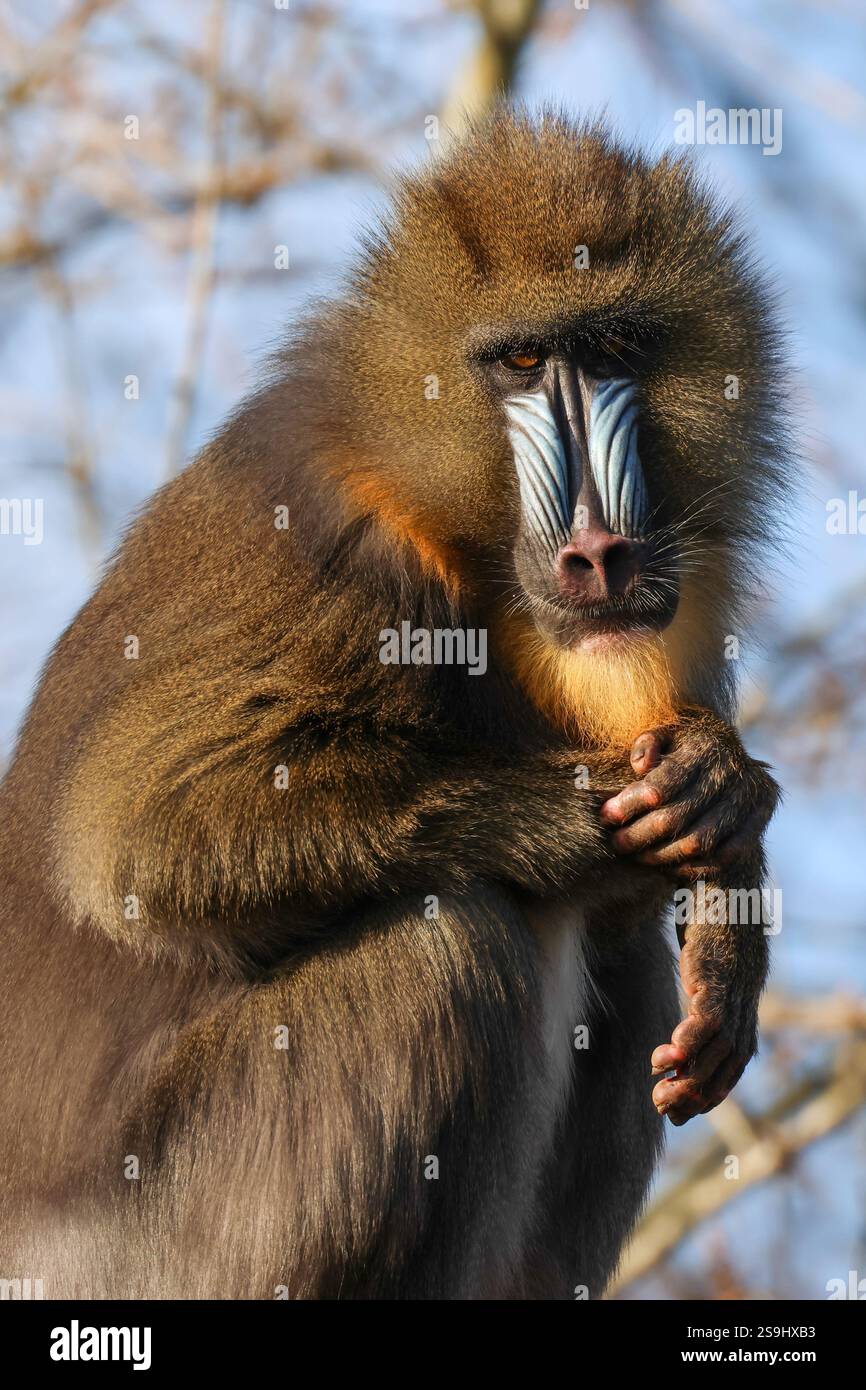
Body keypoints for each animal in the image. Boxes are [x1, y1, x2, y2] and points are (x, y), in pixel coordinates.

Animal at [0, 110, 786, 1300]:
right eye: (521, 361)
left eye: (612, 350)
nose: (599, 553)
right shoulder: (331, 550)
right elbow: (135, 830)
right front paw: (611, 817)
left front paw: (719, 802)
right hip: (171, 1239)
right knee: (444, 946)